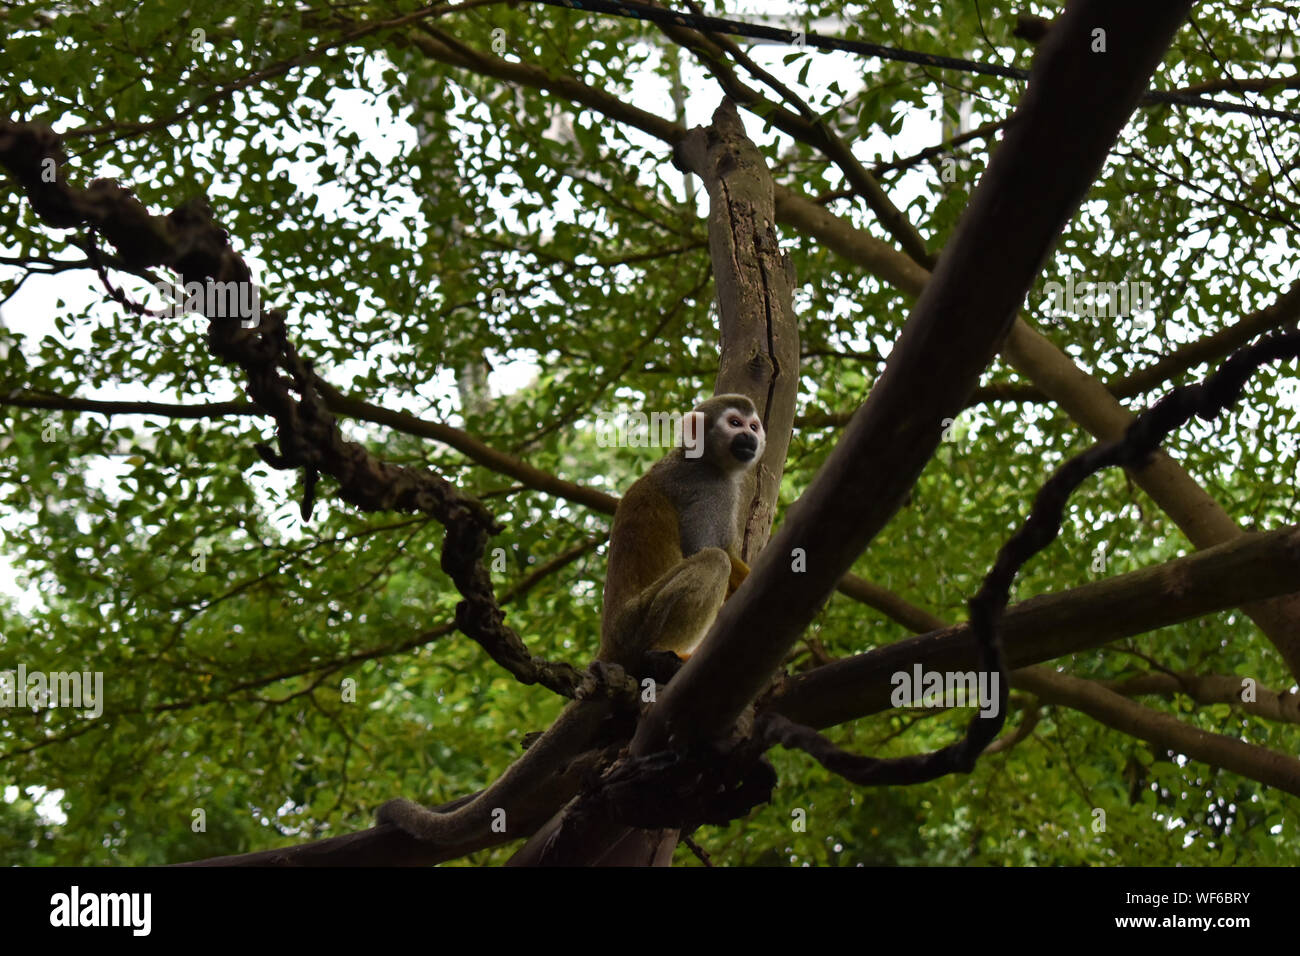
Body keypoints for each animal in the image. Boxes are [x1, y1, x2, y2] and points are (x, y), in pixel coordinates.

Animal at [375, 393, 766, 847]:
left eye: (753, 426)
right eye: (735, 423)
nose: (750, 439)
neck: (706, 460)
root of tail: (608, 642)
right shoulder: (705, 490)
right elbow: (714, 551)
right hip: (638, 624)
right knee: (712, 562)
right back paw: (669, 658)